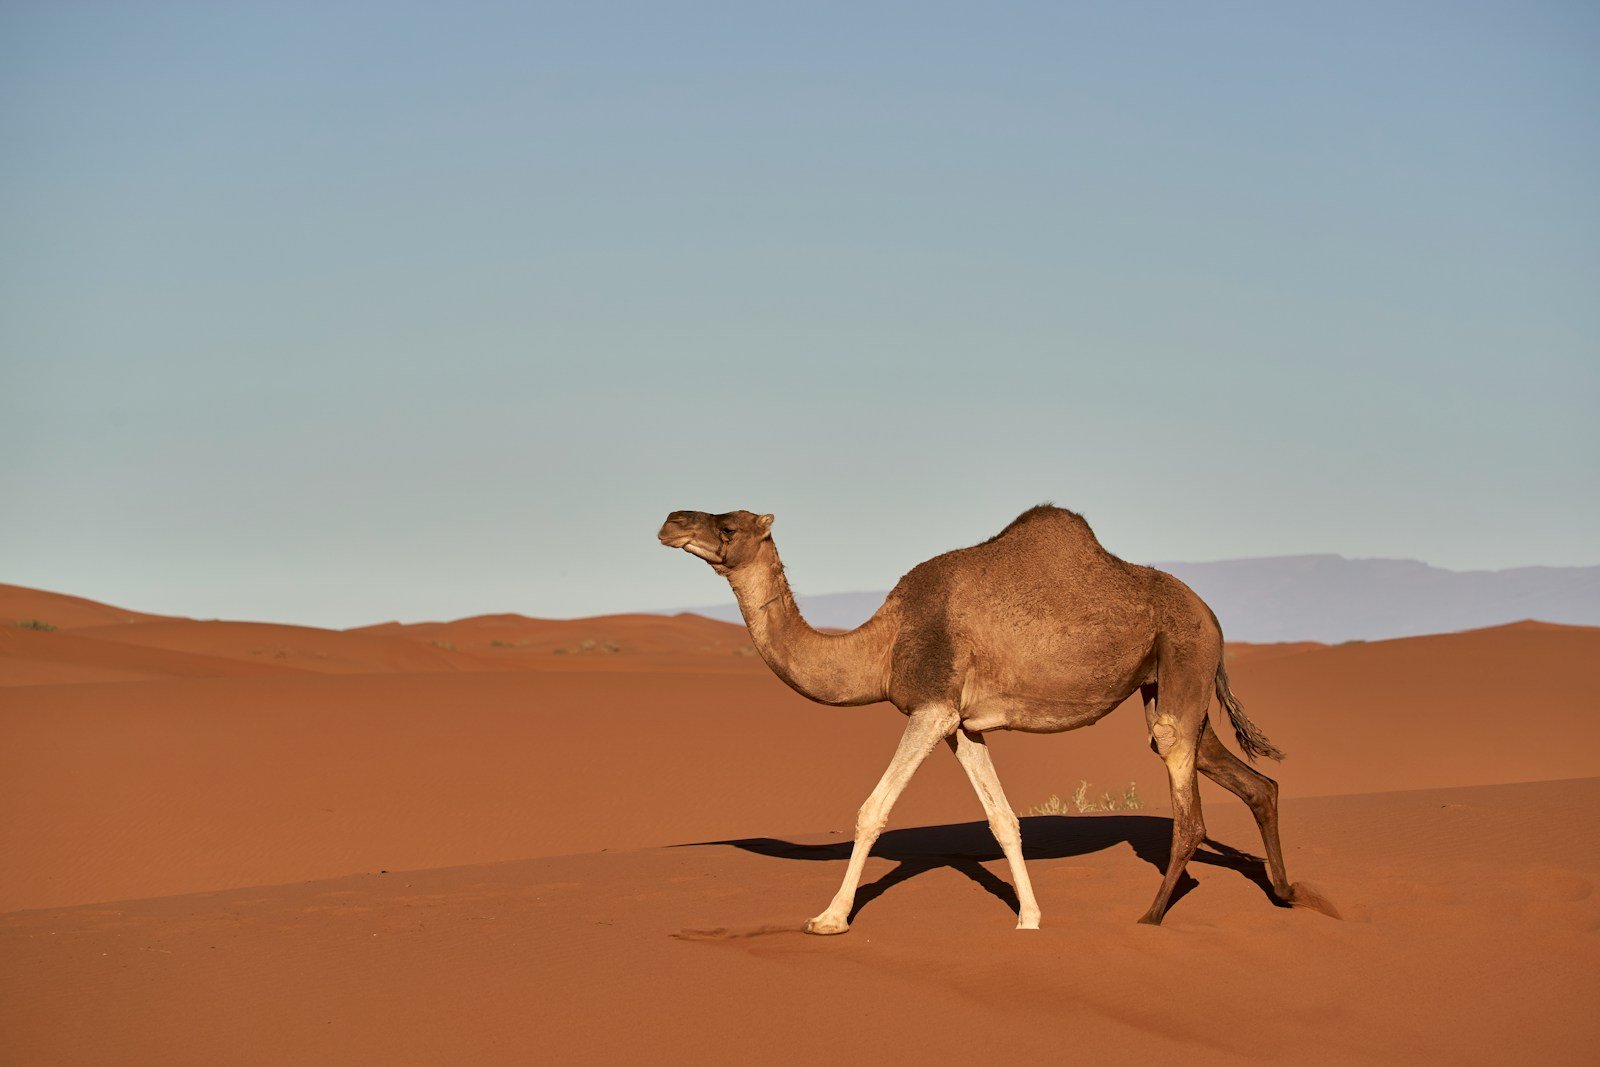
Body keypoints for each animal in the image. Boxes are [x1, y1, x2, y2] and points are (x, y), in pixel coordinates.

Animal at [658, 504, 1321, 933]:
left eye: (727, 526)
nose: (671, 521)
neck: (882, 644)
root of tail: (1214, 617)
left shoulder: (930, 707)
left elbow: (873, 810)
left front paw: (828, 918)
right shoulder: (963, 724)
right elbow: (1003, 820)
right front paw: (1029, 918)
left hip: (1184, 662)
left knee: (1189, 809)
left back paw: (1152, 916)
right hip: (1170, 685)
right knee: (1255, 783)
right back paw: (1287, 893)